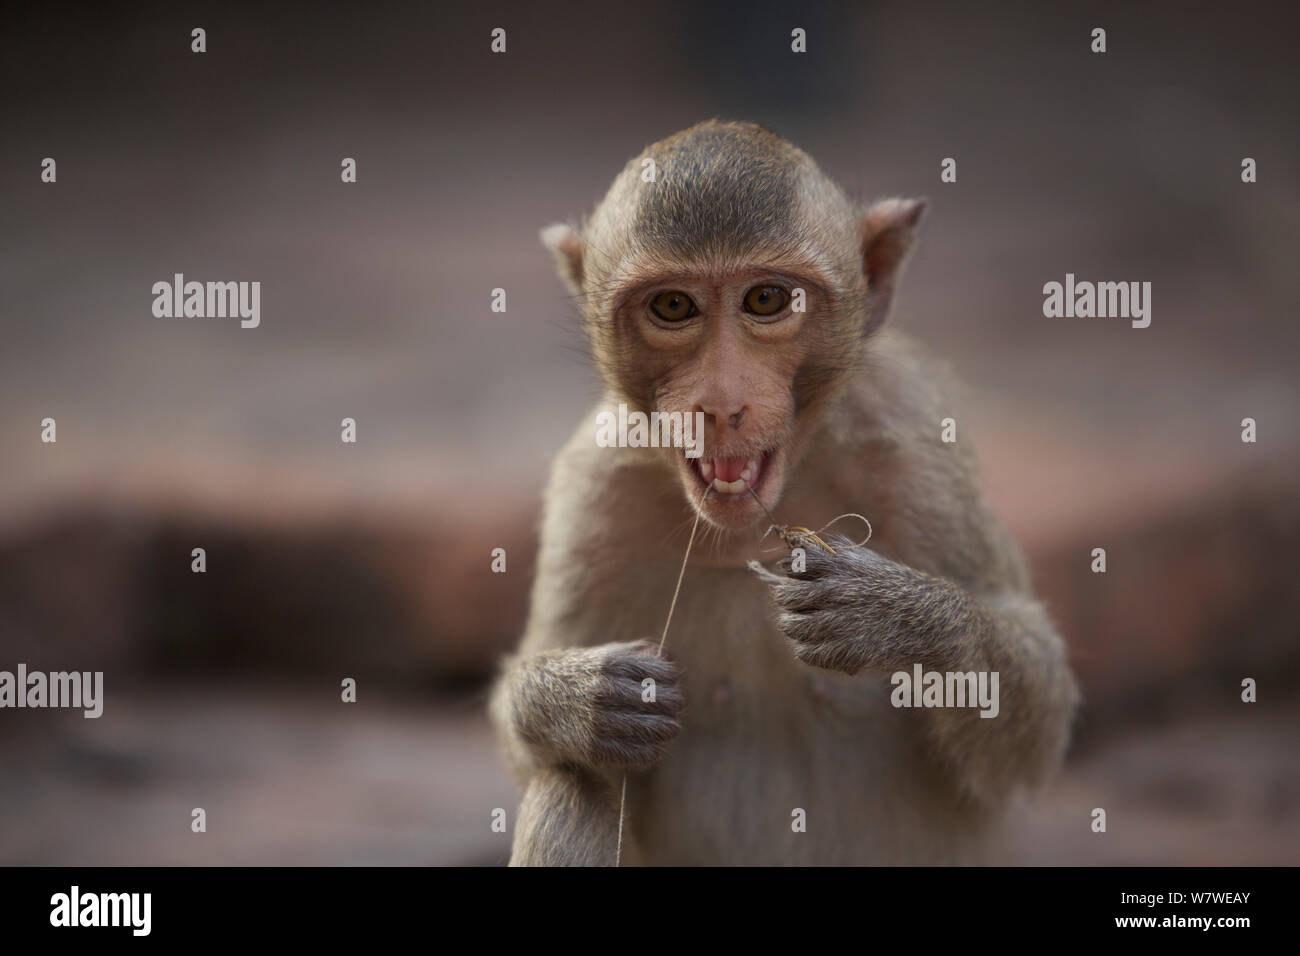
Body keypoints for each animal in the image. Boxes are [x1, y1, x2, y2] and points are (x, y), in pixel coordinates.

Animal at [489, 119, 1080, 865]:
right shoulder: (595, 485)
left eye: (766, 300)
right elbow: (536, 734)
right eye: (673, 306)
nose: (720, 404)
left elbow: (1037, 725)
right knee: (578, 776)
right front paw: (573, 702)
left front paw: (900, 615)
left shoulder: (919, 452)